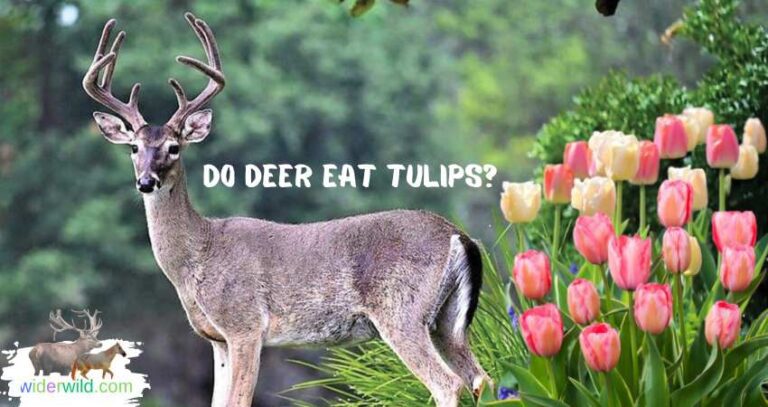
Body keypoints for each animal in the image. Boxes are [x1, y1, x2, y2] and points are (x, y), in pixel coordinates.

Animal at [83, 12, 490, 407]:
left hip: (401, 311)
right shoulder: (217, 339)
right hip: (447, 322)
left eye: (173, 147)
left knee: (448, 384)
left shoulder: (245, 325)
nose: (146, 181)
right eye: (134, 147)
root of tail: (458, 235)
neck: (198, 254)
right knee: (481, 379)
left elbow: (238, 401)